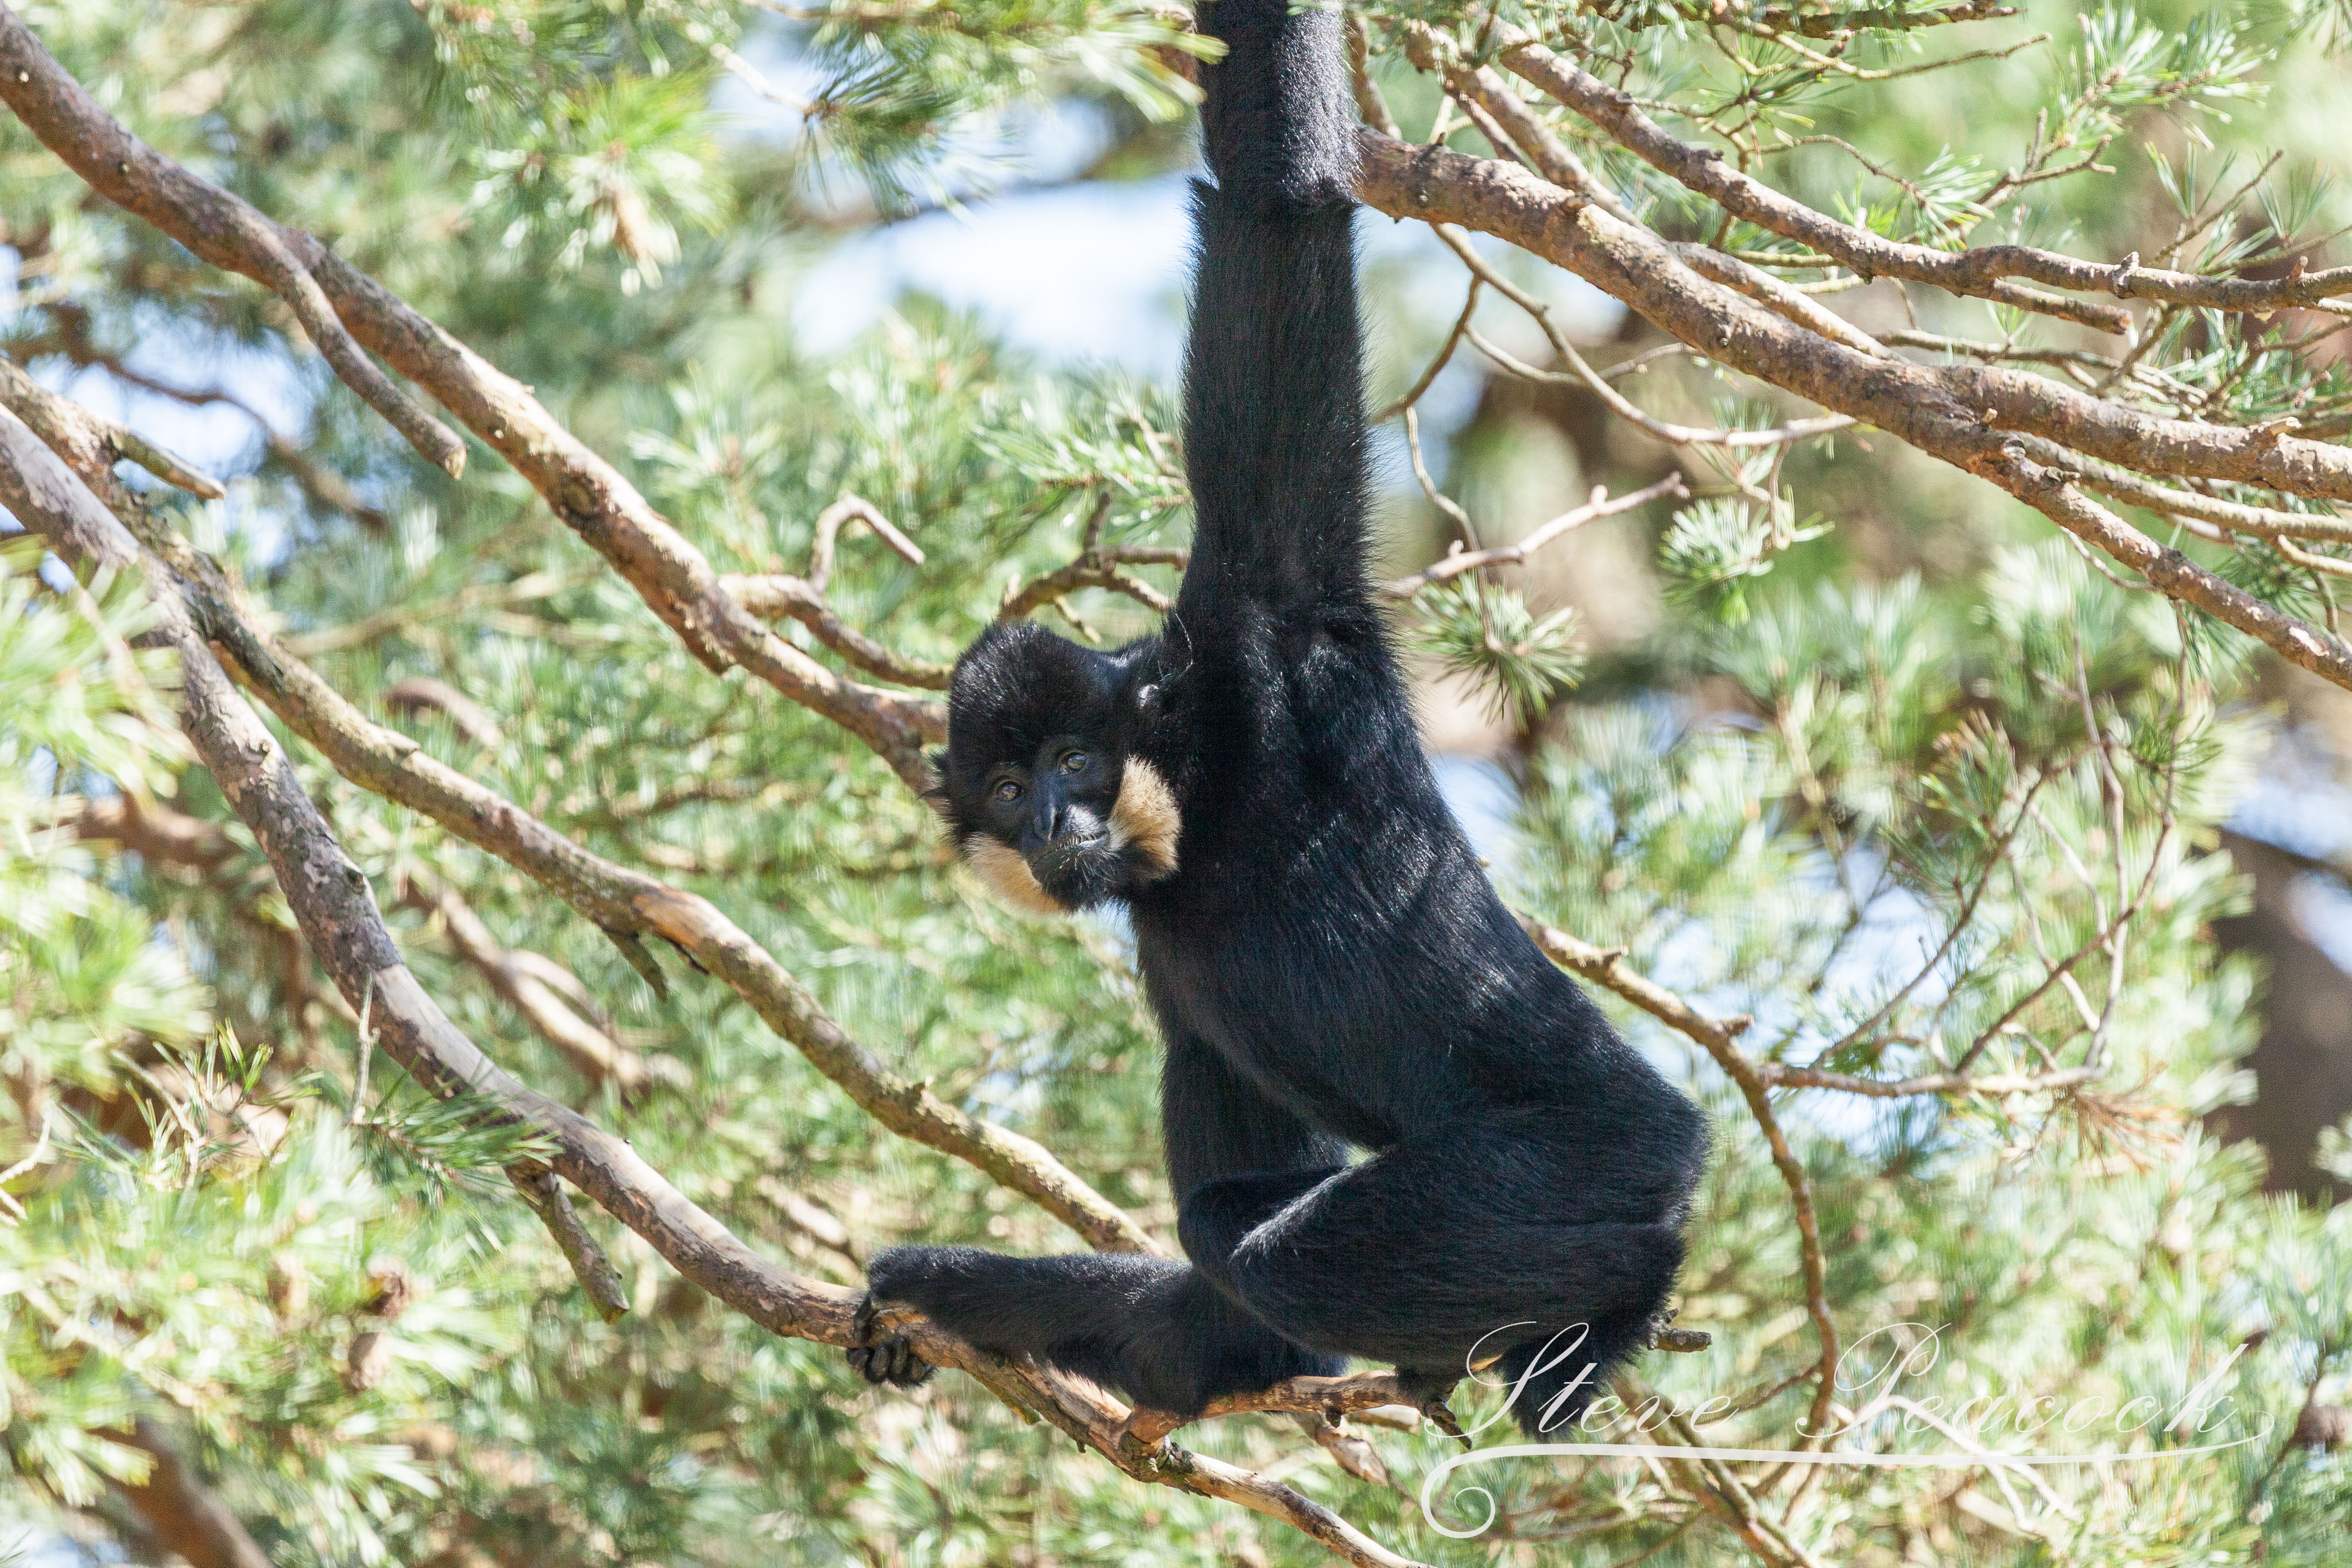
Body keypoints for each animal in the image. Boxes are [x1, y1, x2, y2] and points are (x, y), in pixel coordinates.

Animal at [843, 0, 1709, 1434]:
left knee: (1267, 1243)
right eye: (1012, 789)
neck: (1194, 792)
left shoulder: (1264, 636)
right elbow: (1216, 1346)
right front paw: (937, 1289)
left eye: (1075, 758)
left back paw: (1603, 1315)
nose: (1059, 820)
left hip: (1599, 1151)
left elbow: (1276, 201)